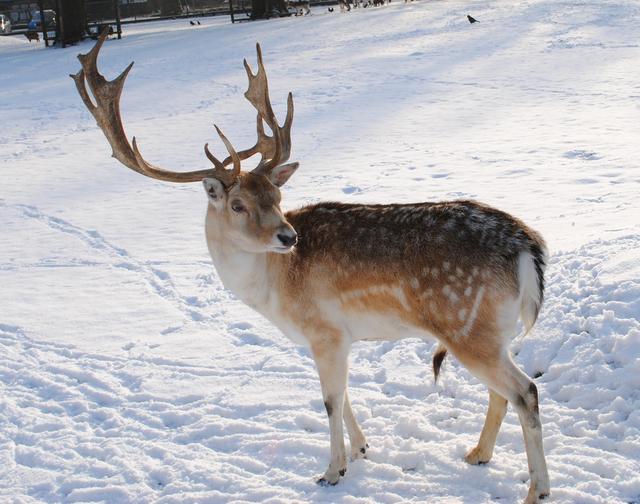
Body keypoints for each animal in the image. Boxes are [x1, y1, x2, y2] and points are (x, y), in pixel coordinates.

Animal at [71, 31, 552, 504]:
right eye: (239, 203)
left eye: (277, 197)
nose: (288, 237)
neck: (273, 289)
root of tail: (527, 246)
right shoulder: (337, 337)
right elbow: (345, 394)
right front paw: (360, 449)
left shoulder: (323, 330)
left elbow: (329, 401)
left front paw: (331, 472)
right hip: (490, 331)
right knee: (501, 392)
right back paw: (478, 454)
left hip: (465, 324)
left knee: (525, 390)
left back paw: (537, 489)